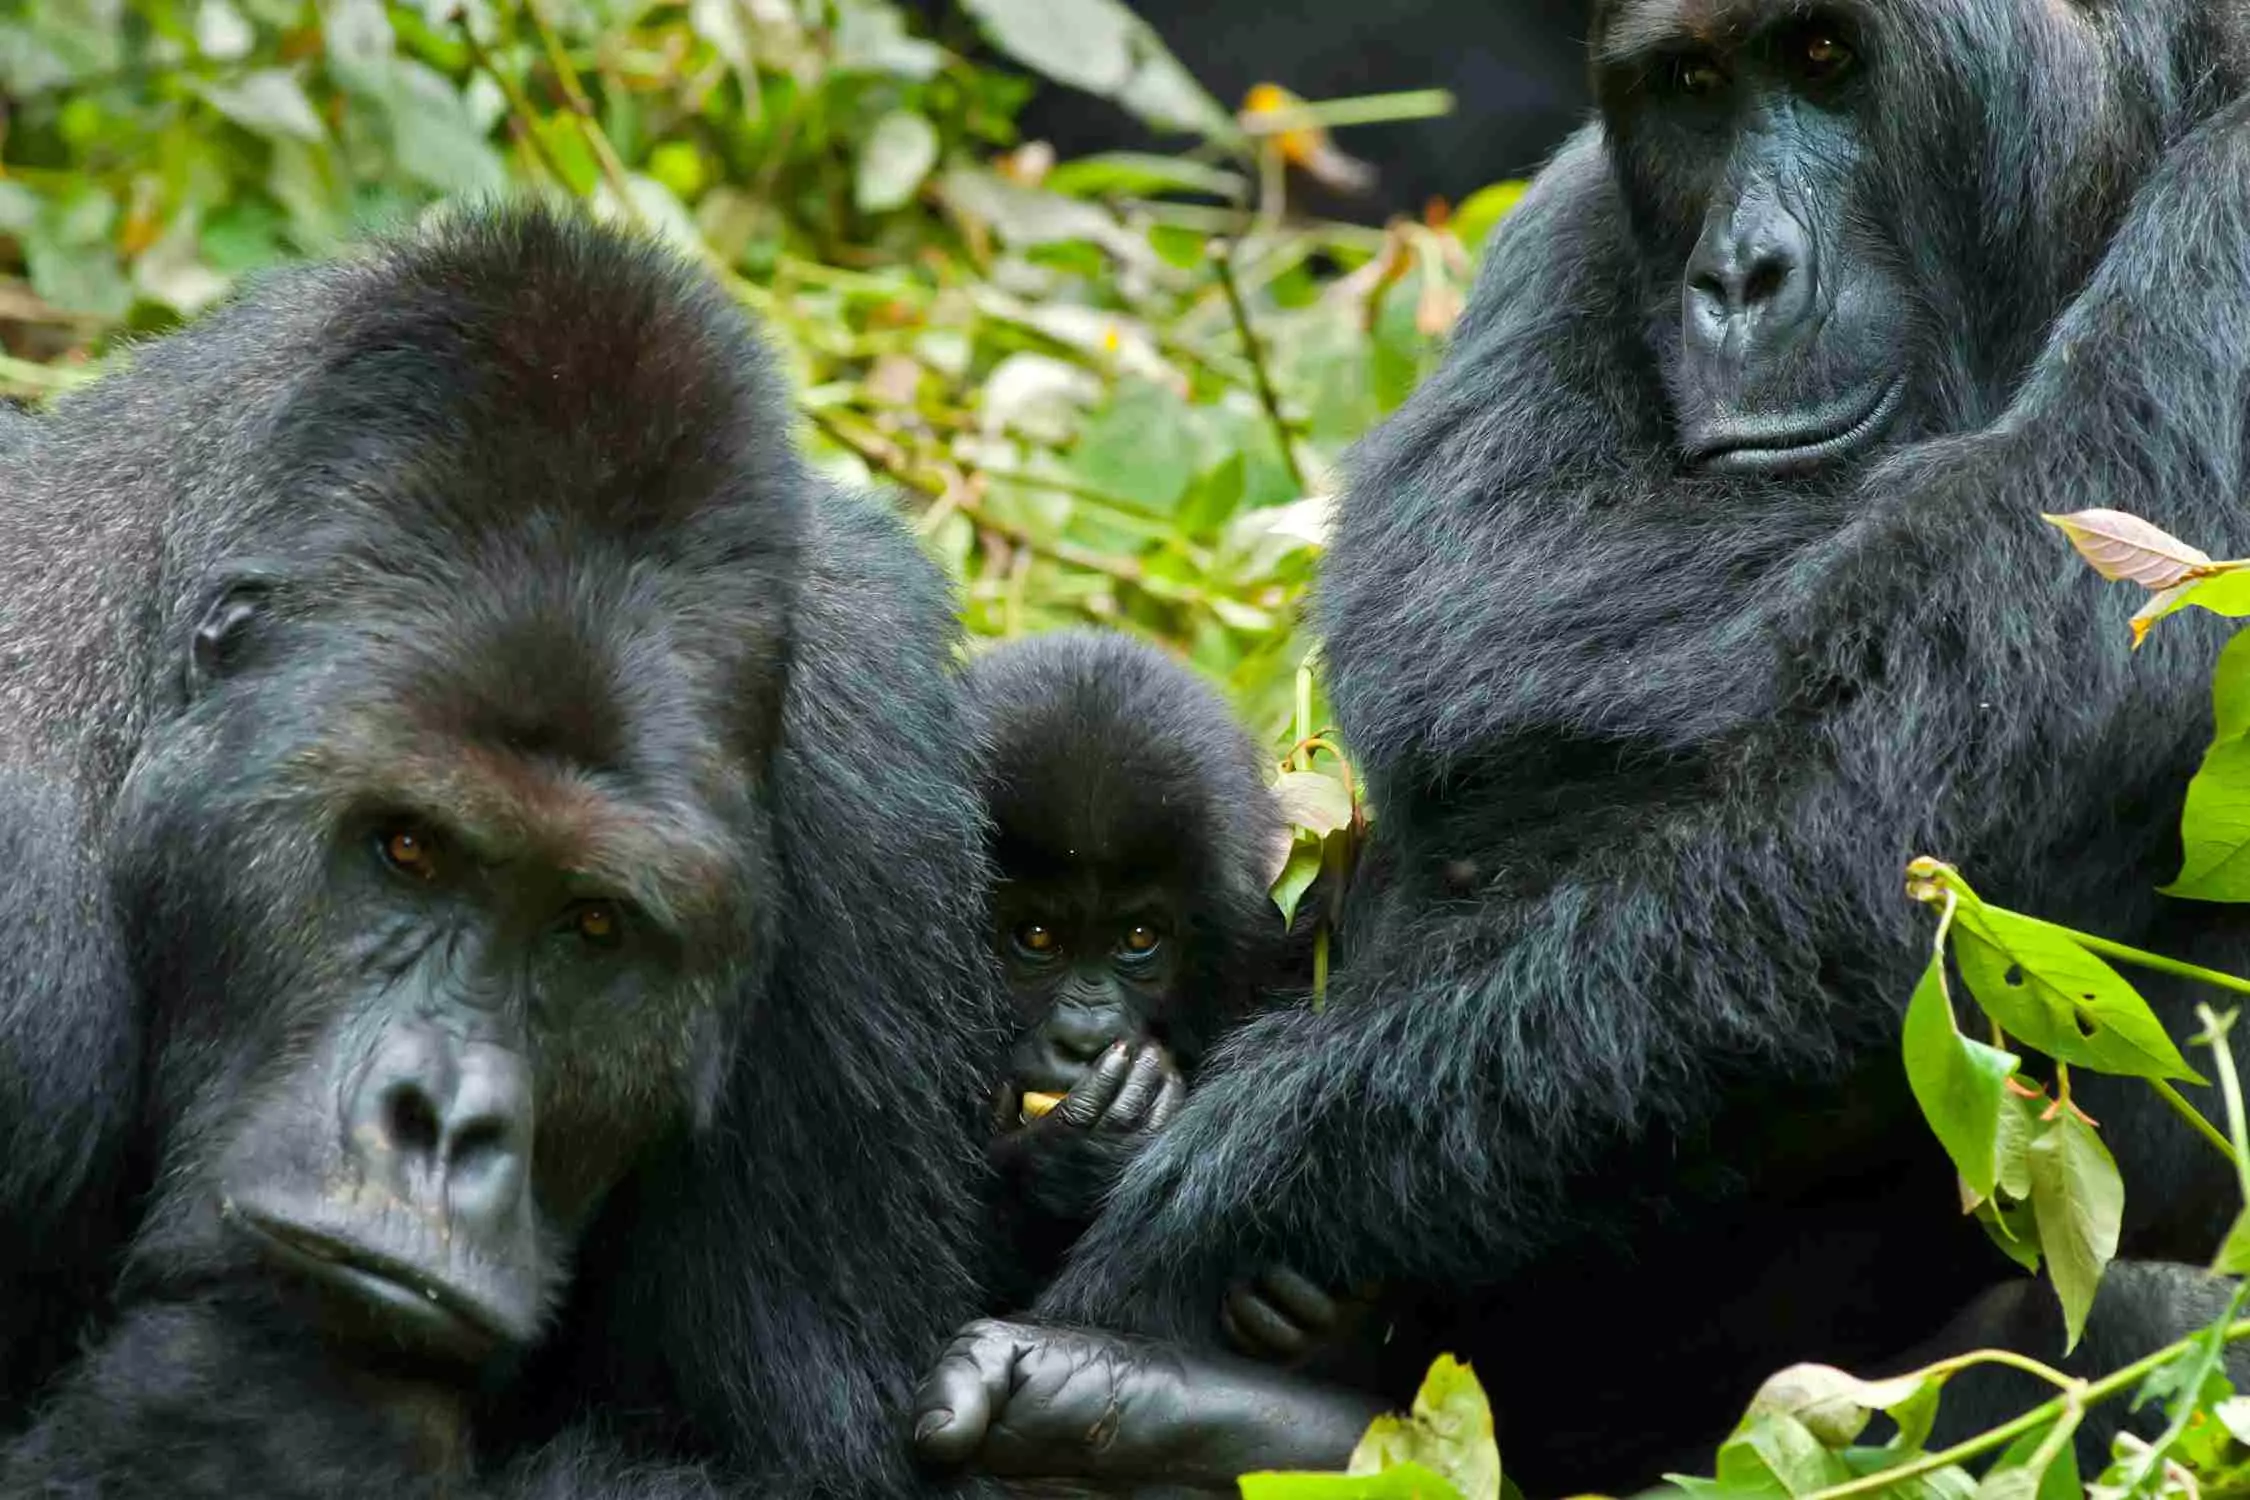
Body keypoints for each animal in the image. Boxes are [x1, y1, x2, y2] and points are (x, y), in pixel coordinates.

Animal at [913, 0, 2250, 1493]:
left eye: (1828, 59)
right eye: (1695, 87)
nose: (1739, 275)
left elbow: (1927, 778)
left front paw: (1211, 1202)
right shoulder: (1579, 212)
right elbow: (1489, 591)